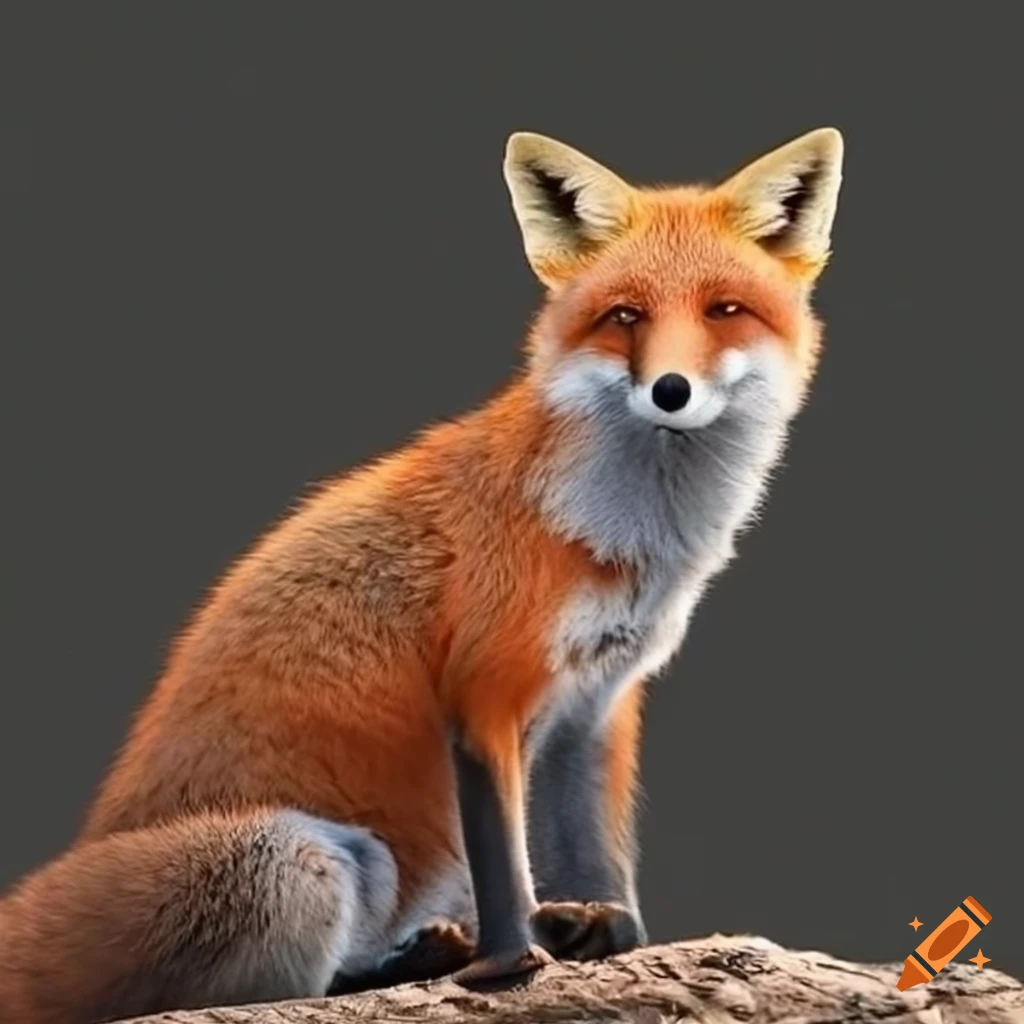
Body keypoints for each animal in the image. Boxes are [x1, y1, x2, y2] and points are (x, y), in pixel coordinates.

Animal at [0, 125, 844, 1023]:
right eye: (625, 316)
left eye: (724, 310)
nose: (671, 390)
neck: (619, 537)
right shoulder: (483, 686)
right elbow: (503, 858)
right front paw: (514, 959)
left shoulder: (598, 700)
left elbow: (597, 848)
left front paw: (618, 935)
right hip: (299, 855)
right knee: (288, 986)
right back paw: (425, 959)